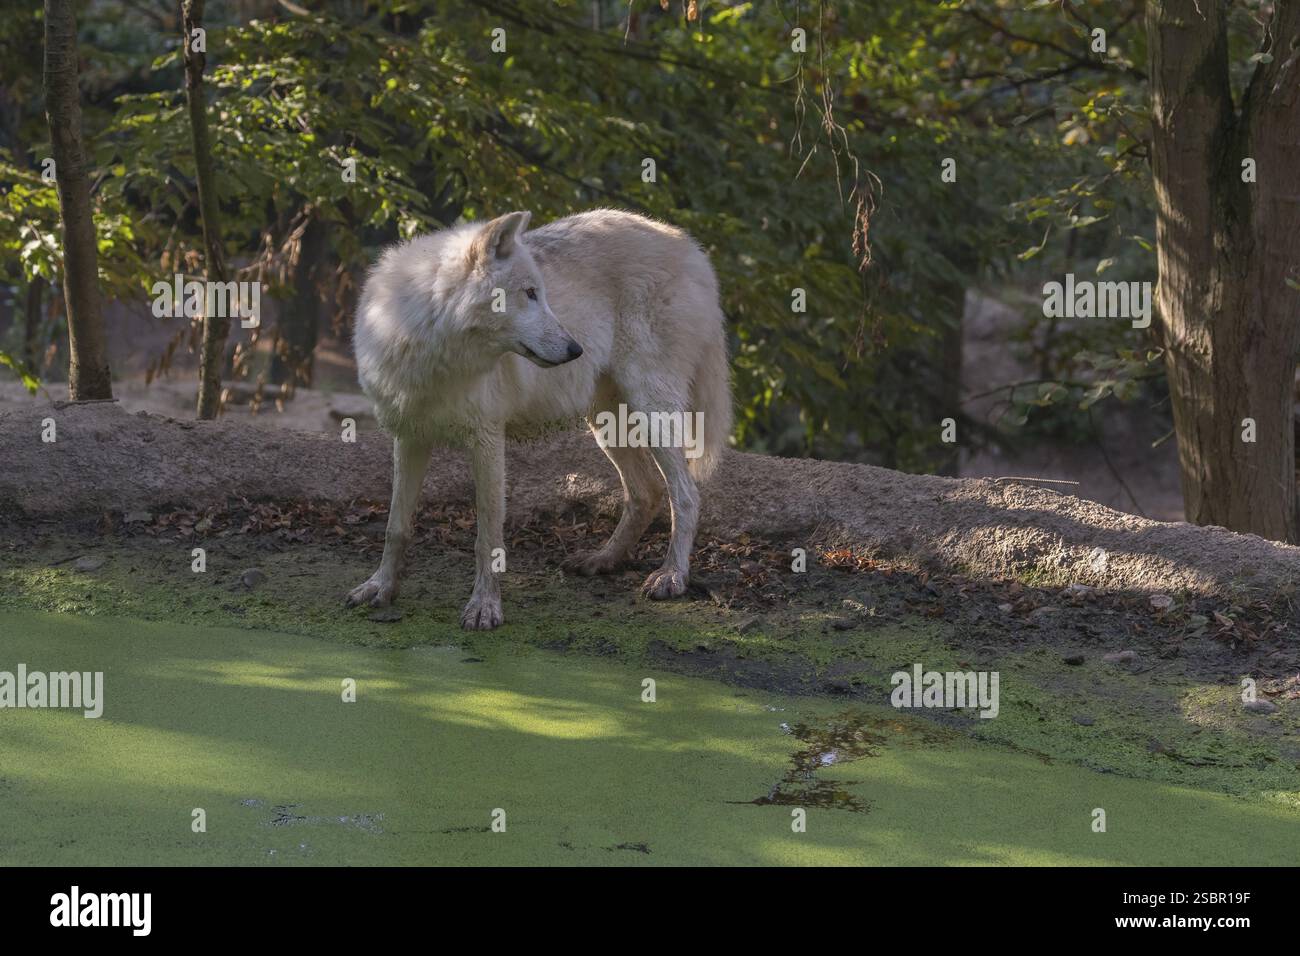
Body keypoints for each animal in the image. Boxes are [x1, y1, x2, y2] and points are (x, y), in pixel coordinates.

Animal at [346, 209, 732, 630]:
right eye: (530, 293)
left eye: (542, 293)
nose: (576, 349)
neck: (431, 349)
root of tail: (689, 246)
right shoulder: (409, 437)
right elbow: (396, 527)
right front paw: (380, 587)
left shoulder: (487, 440)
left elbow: (486, 539)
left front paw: (484, 607)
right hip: (605, 420)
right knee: (646, 491)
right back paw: (602, 560)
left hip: (650, 408)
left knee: (685, 494)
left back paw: (672, 576)